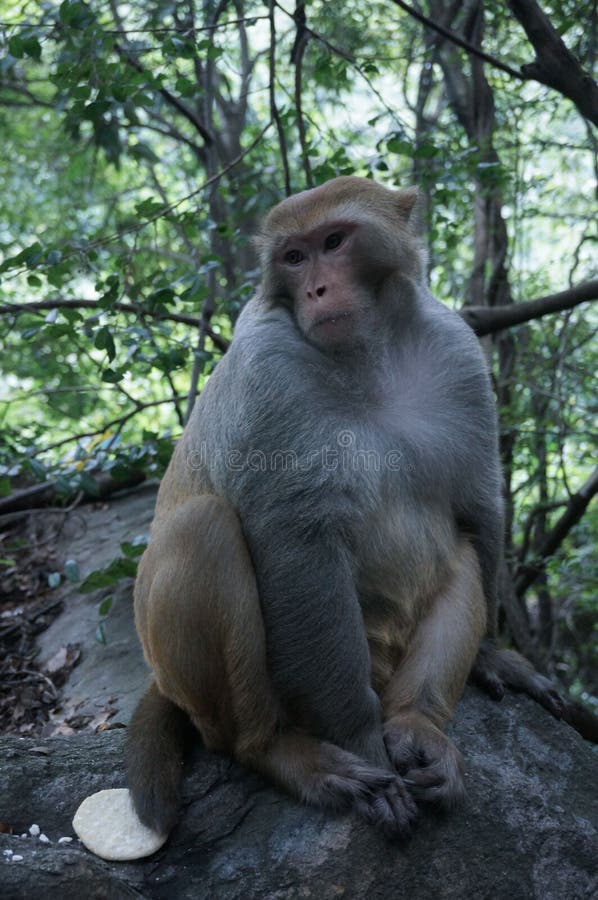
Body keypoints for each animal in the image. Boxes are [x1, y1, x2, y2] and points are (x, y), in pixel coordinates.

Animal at [126, 176, 569, 840]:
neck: (367, 353)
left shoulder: (457, 350)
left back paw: (417, 723)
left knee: (463, 549)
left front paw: (492, 657)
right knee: (204, 529)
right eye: (293, 257)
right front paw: (361, 741)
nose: (315, 289)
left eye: (333, 242)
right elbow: (294, 539)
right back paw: (280, 750)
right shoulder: (267, 372)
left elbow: (476, 506)